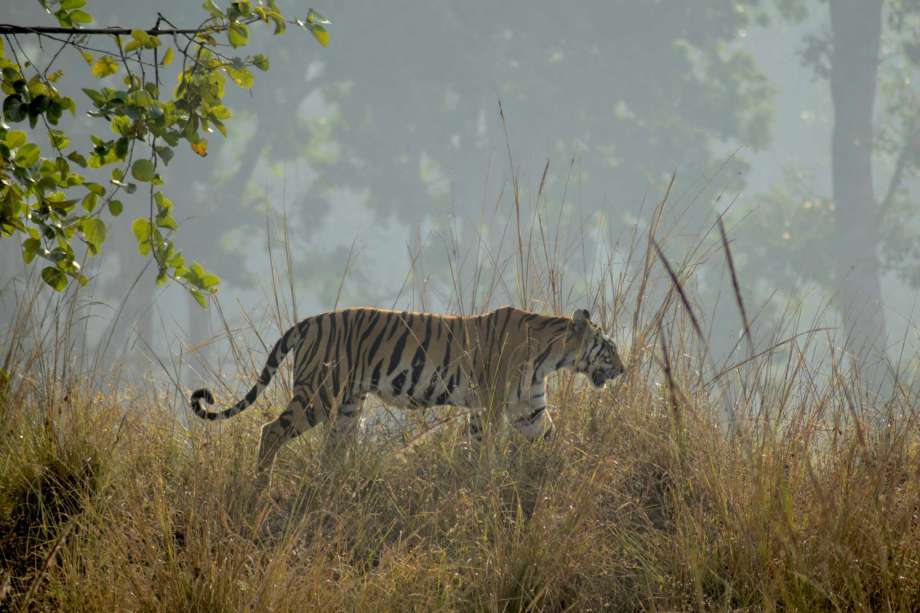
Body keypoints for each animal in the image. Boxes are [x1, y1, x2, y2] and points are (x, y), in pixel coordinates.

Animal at [191, 306, 625, 489]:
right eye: (609, 348)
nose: (623, 369)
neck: (552, 357)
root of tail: (310, 321)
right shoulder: (491, 405)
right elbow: (486, 448)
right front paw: (487, 482)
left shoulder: (527, 411)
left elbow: (554, 440)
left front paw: (573, 468)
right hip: (319, 393)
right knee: (271, 430)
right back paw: (261, 485)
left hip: (348, 405)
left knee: (331, 450)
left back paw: (333, 485)